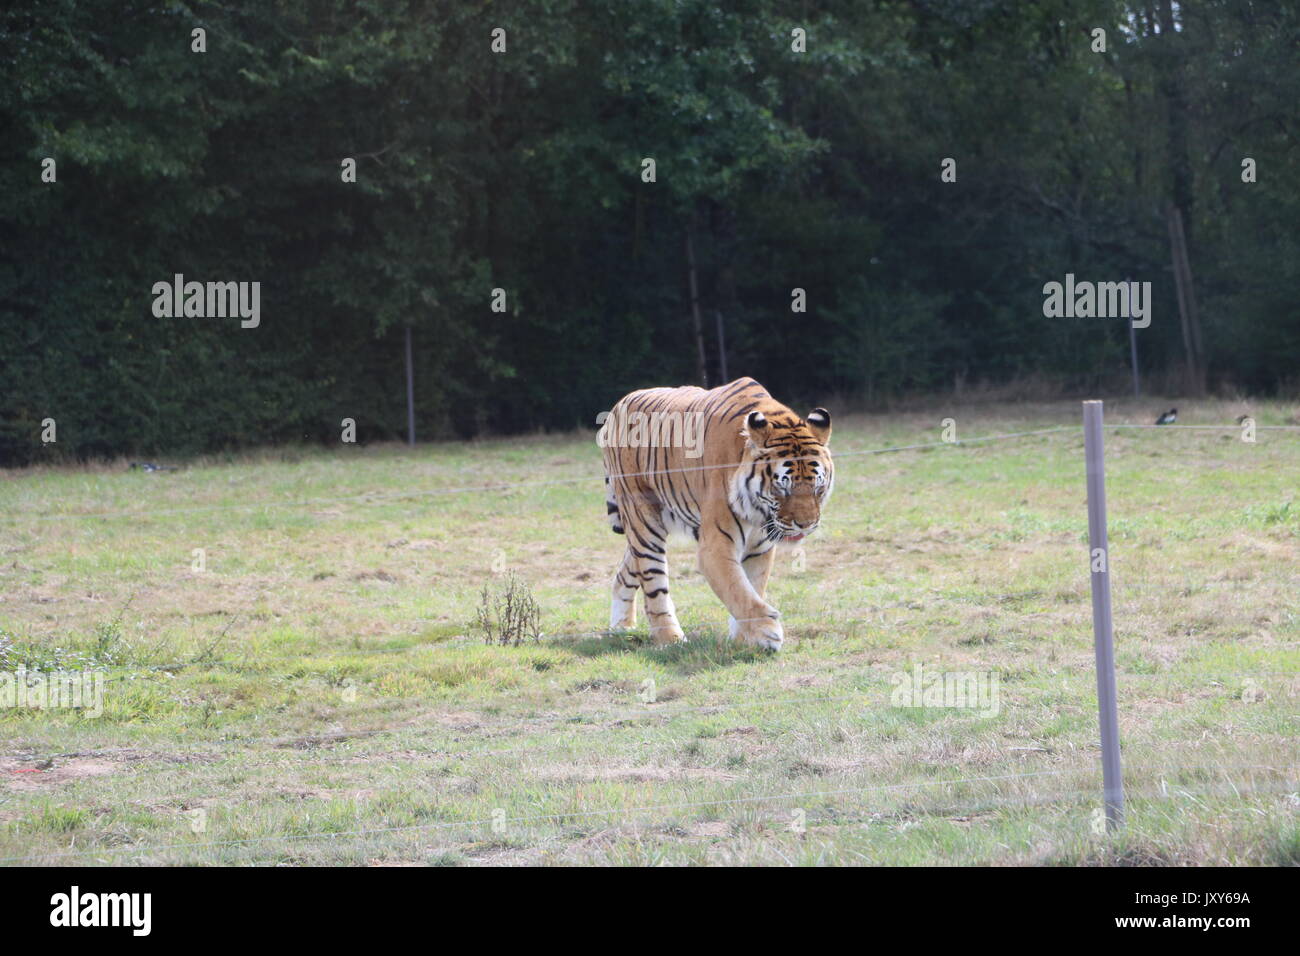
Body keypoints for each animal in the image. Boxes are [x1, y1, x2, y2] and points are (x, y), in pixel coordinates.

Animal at [599, 377, 833, 651]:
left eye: (818, 487)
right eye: (781, 487)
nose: (805, 525)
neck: (759, 512)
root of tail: (618, 405)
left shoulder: (760, 547)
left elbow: (752, 587)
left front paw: (745, 639)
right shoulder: (716, 545)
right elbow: (738, 589)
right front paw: (766, 633)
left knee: (625, 571)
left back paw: (621, 628)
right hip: (643, 516)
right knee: (653, 580)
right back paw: (669, 638)